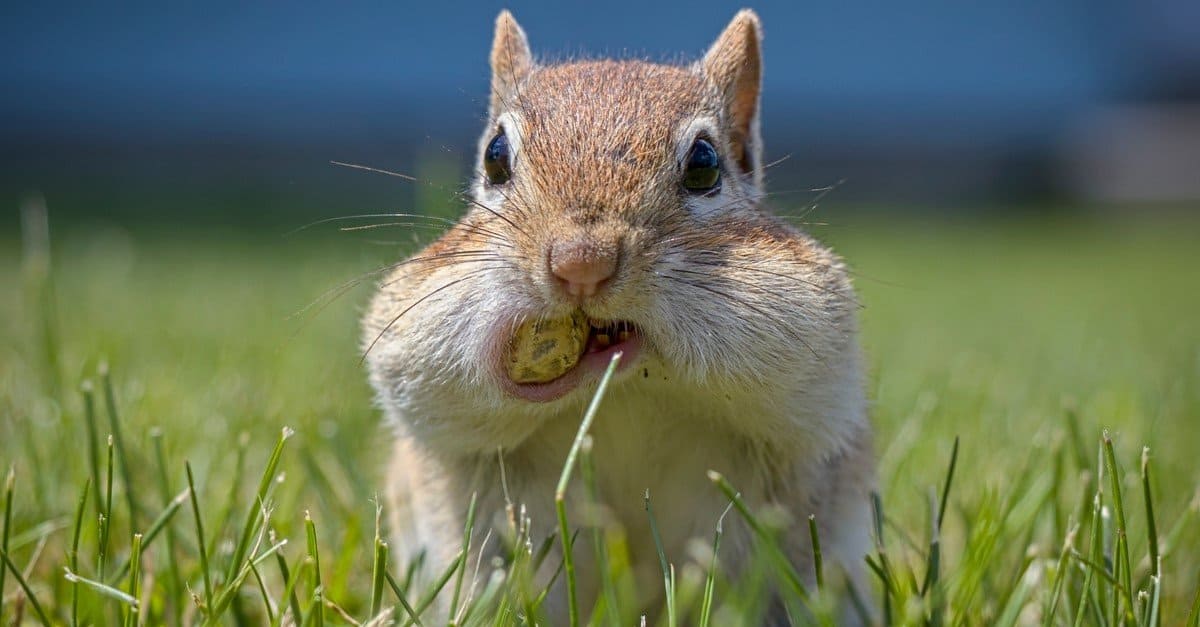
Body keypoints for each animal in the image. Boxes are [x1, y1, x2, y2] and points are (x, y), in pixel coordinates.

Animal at [363, 9, 875, 624]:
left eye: (705, 164)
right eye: (495, 156)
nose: (581, 264)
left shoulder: (806, 322)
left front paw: (631, 347)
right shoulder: (419, 315)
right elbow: (442, 384)